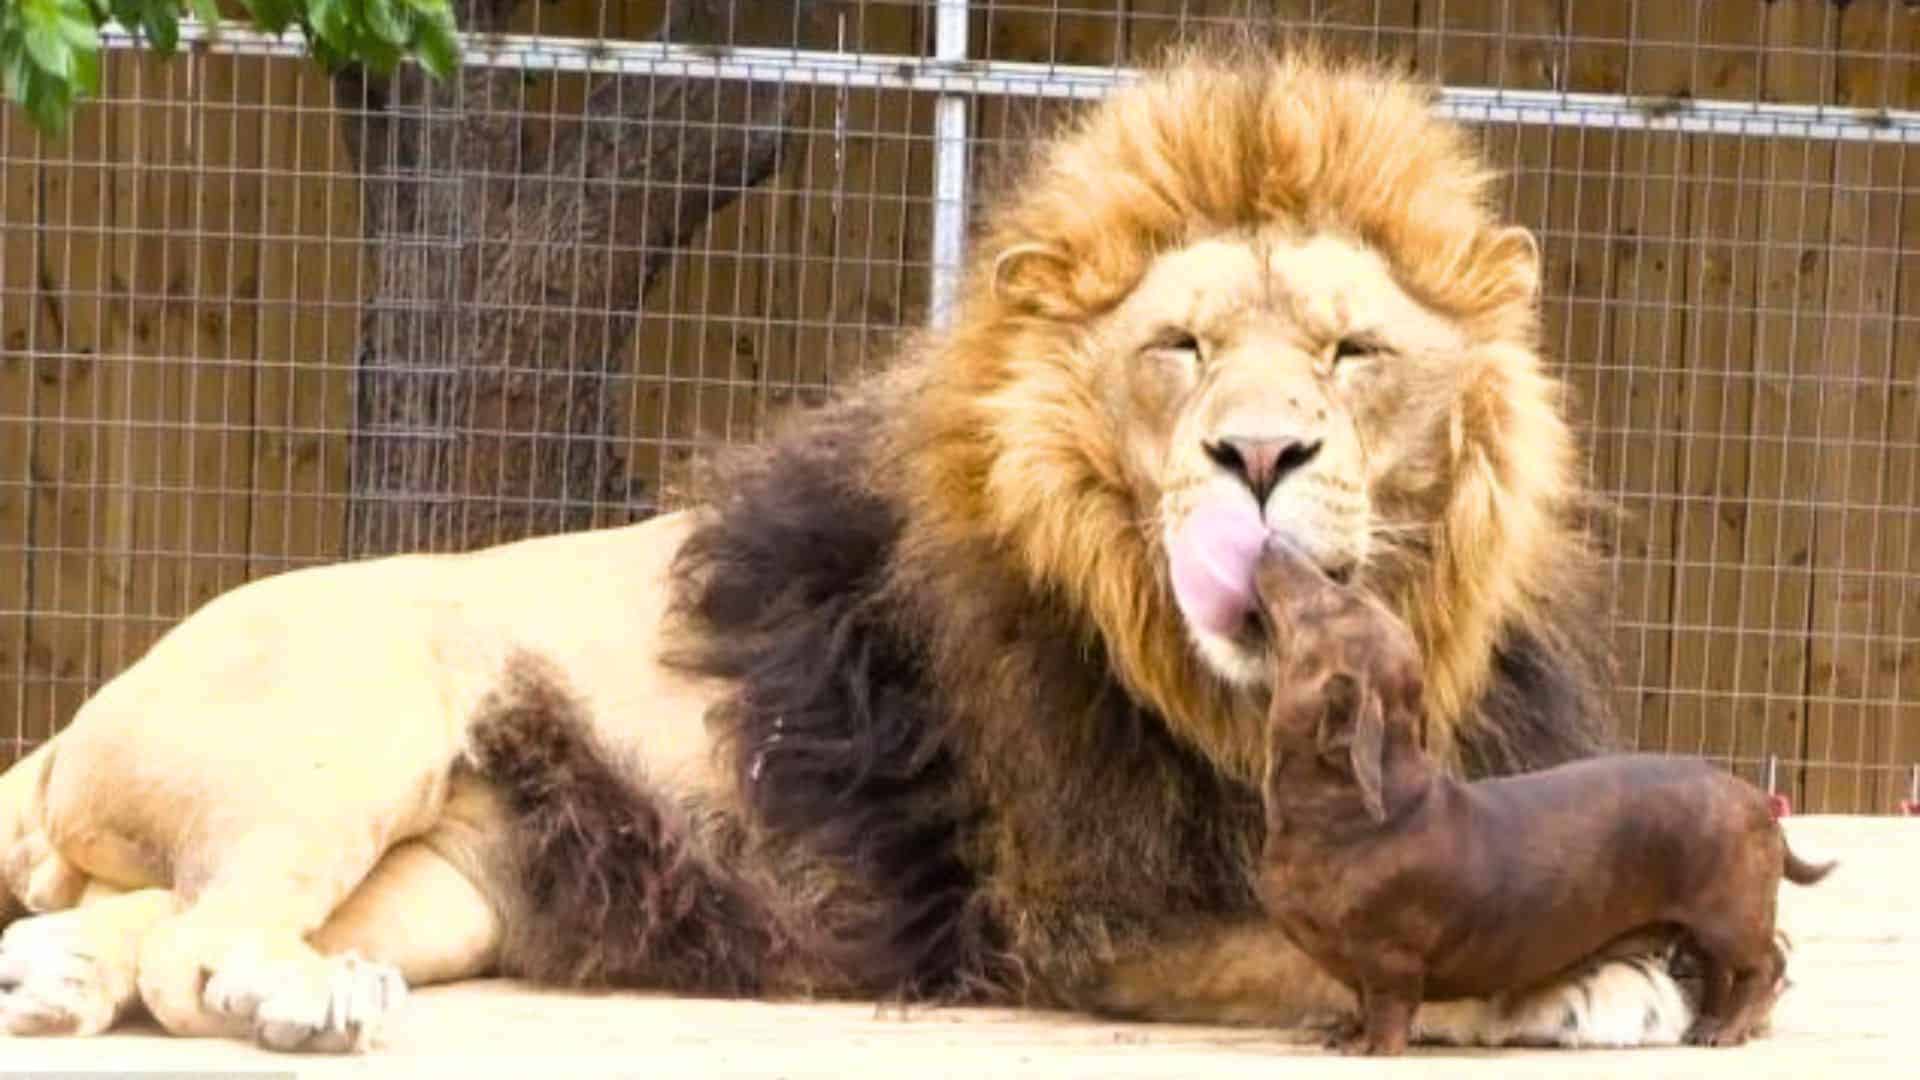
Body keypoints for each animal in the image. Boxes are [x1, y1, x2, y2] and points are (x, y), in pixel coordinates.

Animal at [0, 43, 1702, 1053]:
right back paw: (274, 995)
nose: (1262, 458)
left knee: (132, 917)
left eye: (1353, 354)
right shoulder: (1082, 921)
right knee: (196, 947)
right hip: (345, 739)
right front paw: (1587, 978)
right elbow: (1363, 953)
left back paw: (62, 982)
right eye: (1183, 350)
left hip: (445, 888)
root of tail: (91, 708)